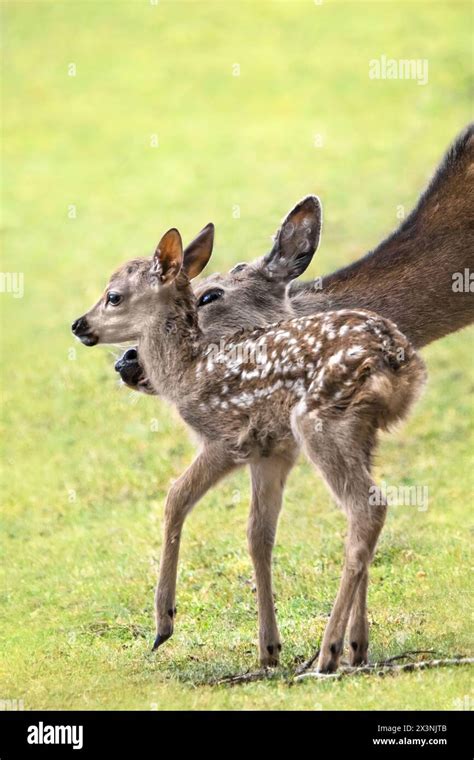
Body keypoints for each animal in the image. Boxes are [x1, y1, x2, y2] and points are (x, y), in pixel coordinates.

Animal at [72, 224, 427, 673]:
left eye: (114, 295)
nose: (78, 324)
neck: (185, 370)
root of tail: (401, 360)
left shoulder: (229, 436)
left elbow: (175, 497)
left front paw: (163, 623)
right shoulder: (271, 450)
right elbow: (259, 534)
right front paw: (268, 649)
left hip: (319, 420)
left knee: (368, 506)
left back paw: (328, 652)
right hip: (362, 433)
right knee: (364, 514)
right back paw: (356, 646)